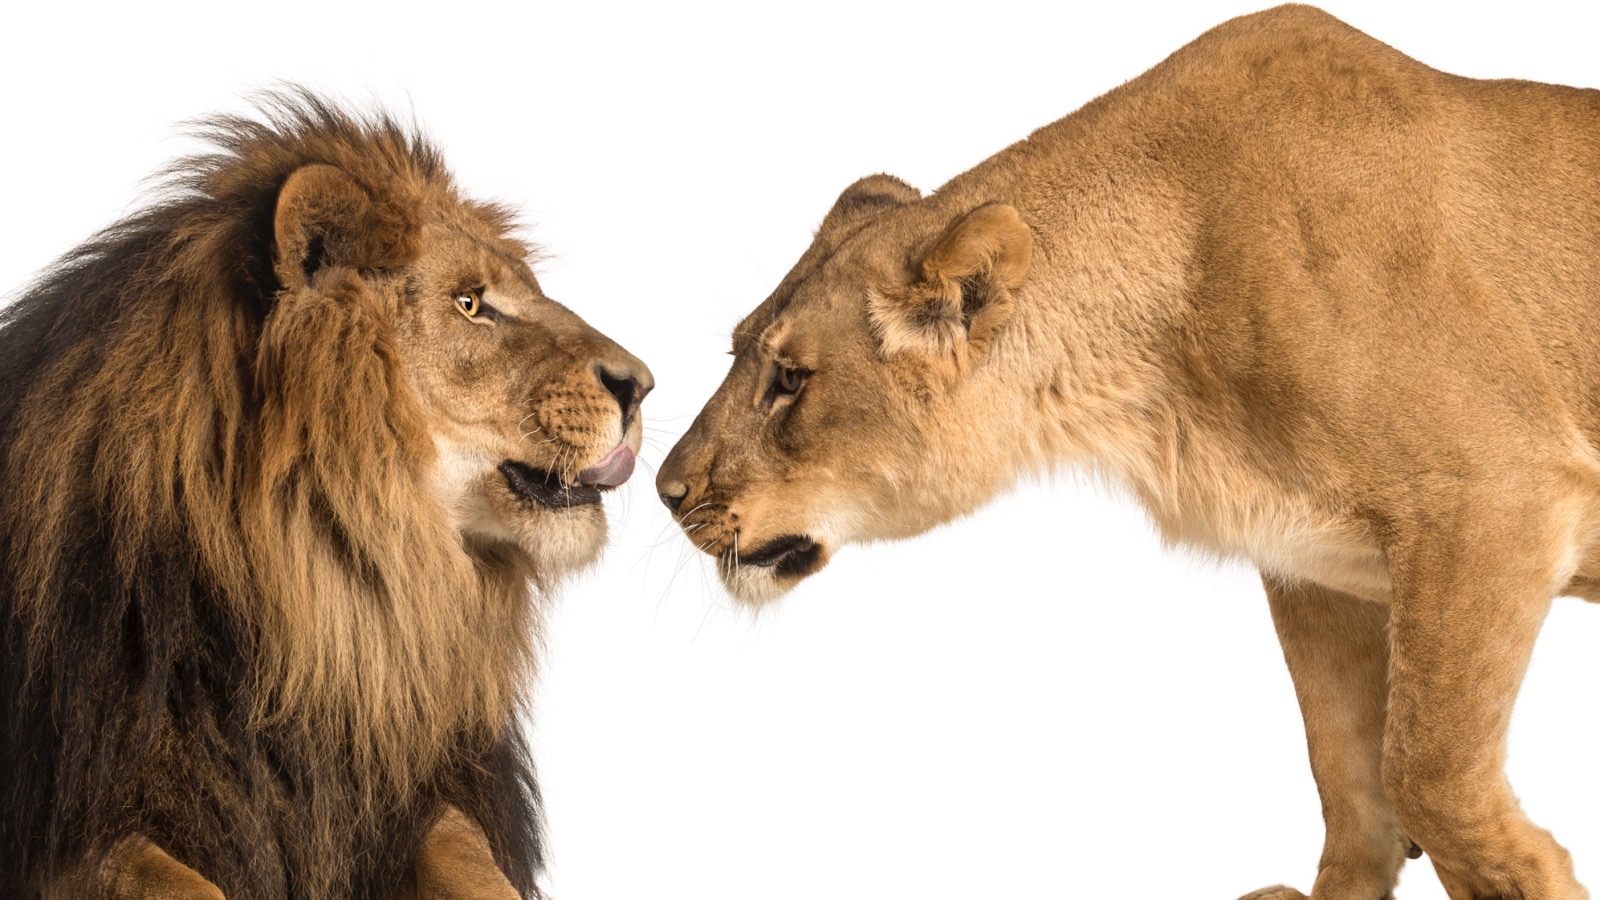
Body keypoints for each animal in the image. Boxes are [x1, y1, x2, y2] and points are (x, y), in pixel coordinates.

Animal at [656, 6, 1600, 899]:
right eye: (740, 352)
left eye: (789, 380)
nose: (668, 492)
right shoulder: (1318, 565)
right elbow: (1349, 770)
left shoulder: (1496, 495)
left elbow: (1427, 766)